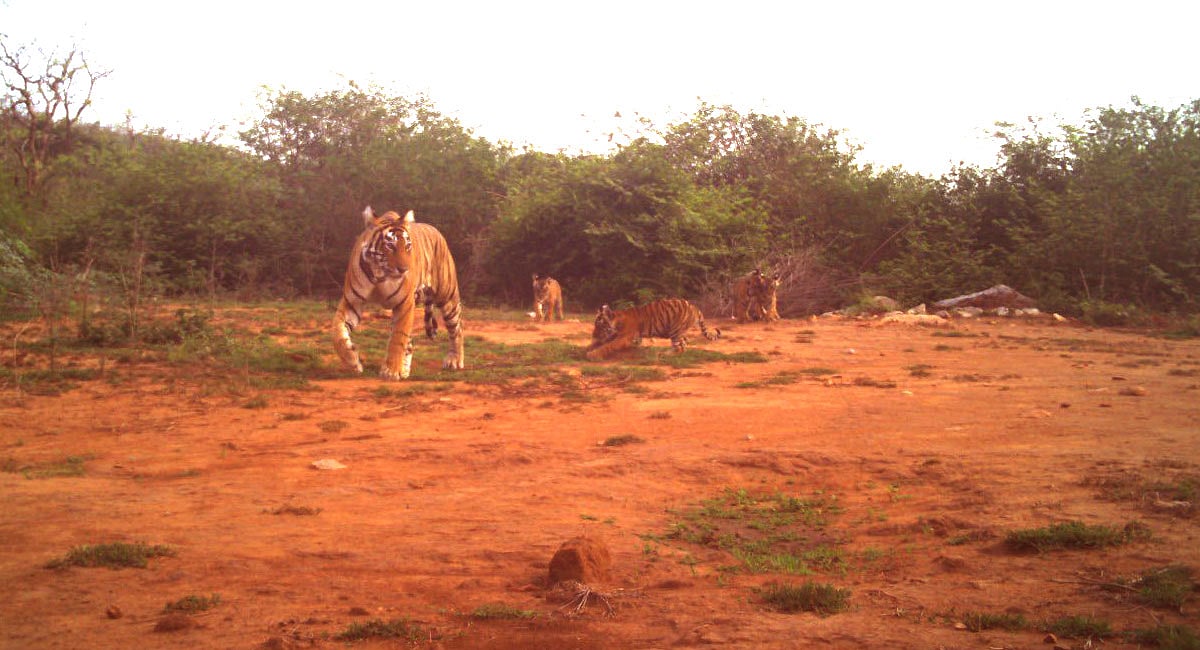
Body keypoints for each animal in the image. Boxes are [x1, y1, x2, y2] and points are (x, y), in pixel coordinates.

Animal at [333, 207, 464, 380]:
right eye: (390, 245)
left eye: (407, 245)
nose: (404, 269)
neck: (379, 276)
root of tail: (437, 232)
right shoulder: (352, 302)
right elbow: (337, 333)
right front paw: (353, 361)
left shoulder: (404, 304)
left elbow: (397, 338)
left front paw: (390, 371)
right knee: (410, 343)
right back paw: (404, 370)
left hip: (447, 295)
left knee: (457, 329)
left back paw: (454, 360)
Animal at [586, 298, 720, 361]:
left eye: (600, 325)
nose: (594, 335)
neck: (617, 321)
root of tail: (695, 307)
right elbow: (602, 343)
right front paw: (589, 347)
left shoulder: (623, 338)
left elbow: (607, 346)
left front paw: (593, 355)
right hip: (679, 331)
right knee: (684, 344)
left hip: (675, 330)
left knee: (679, 347)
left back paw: (662, 354)